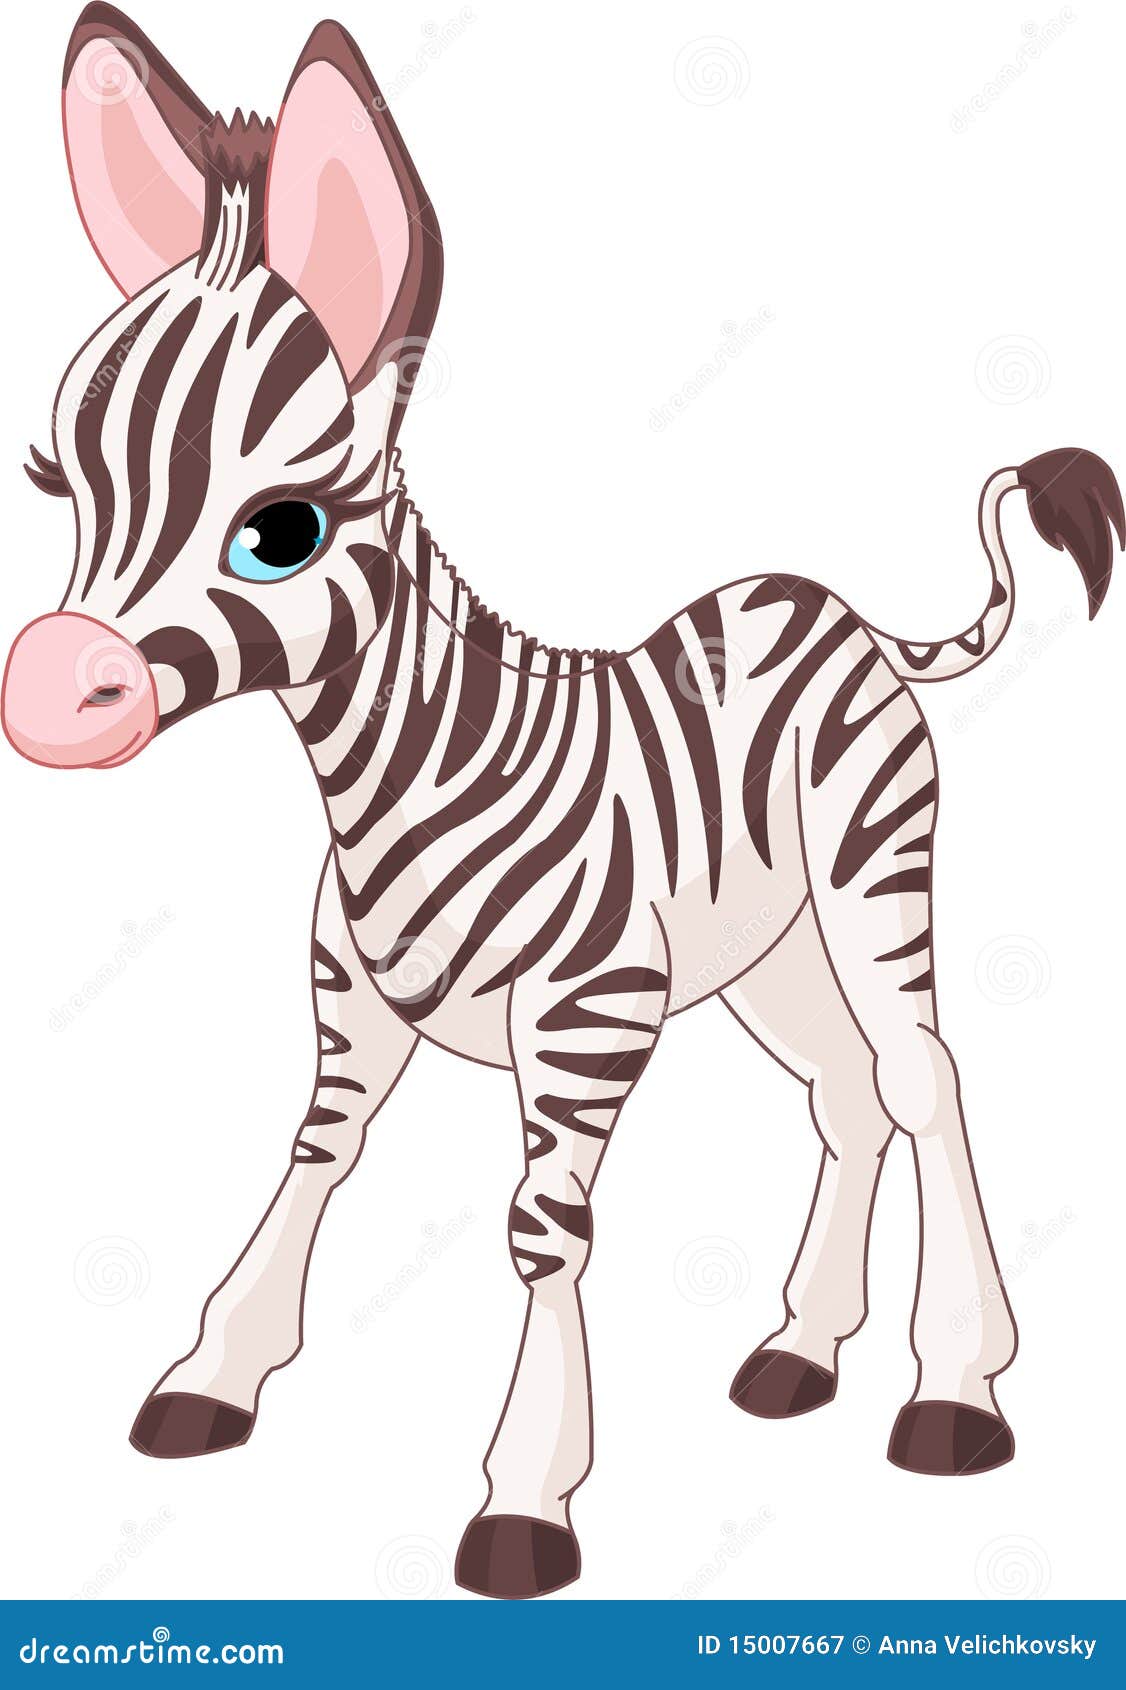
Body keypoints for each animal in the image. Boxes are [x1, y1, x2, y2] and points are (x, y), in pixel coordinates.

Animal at [4, 7, 1121, 1601]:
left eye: (281, 532)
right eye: (57, 484)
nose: (45, 700)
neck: (396, 776)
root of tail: (833, 607)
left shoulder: (589, 1017)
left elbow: (542, 1234)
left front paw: (526, 1504)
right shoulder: (353, 997)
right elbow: (314, 1155)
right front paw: (211, 1375)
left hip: (866, 880)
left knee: (923, 1077)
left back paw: (953, 1393)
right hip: (761, 945)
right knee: (845, 1091)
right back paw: (797, 1352)